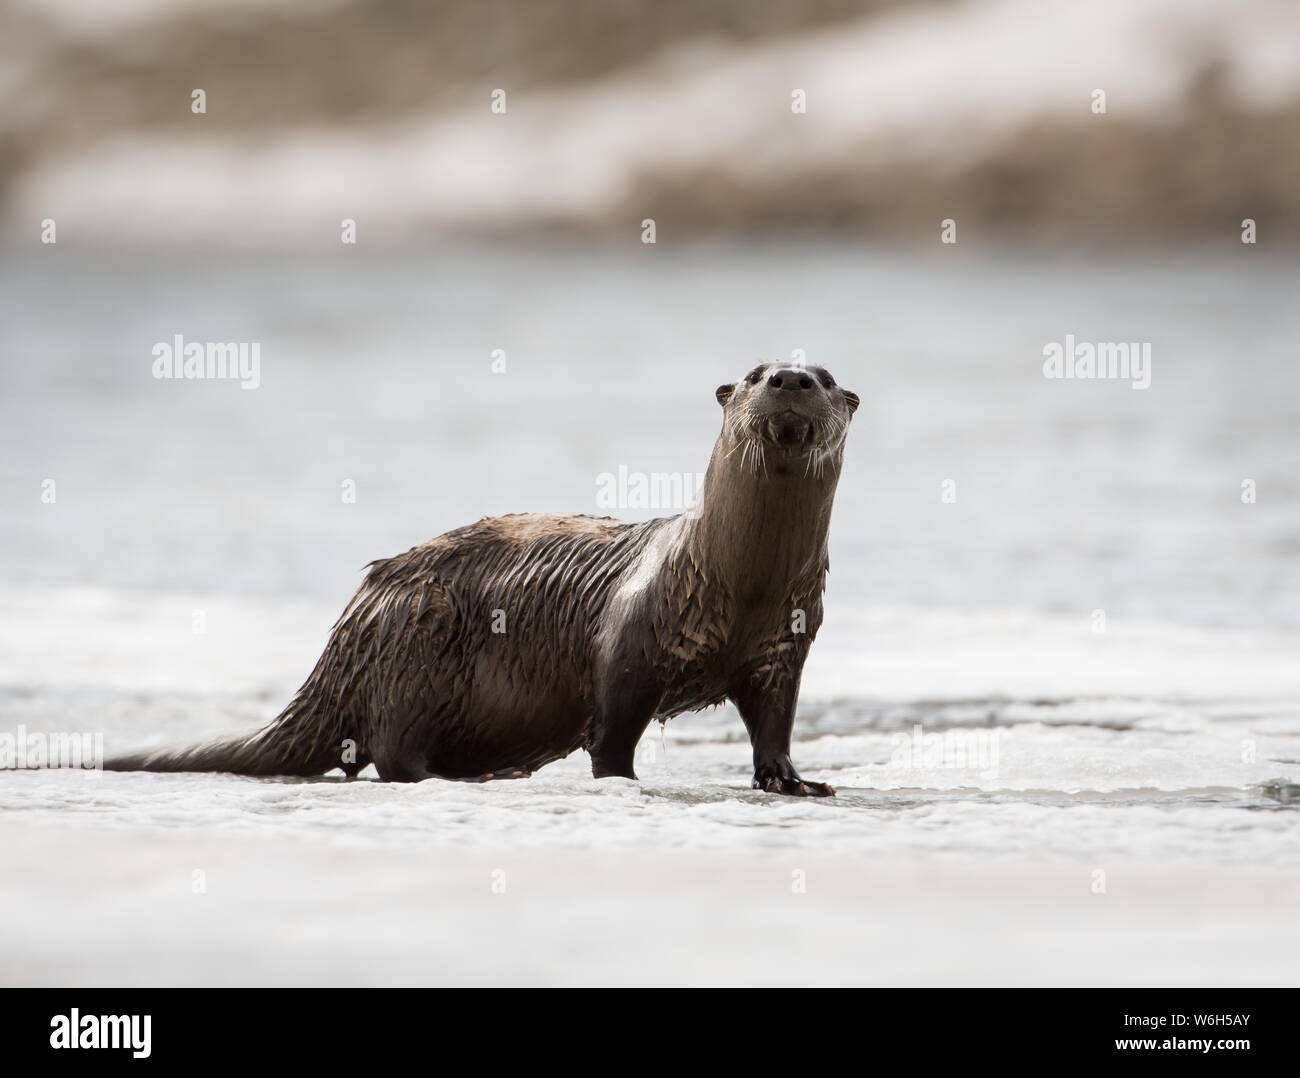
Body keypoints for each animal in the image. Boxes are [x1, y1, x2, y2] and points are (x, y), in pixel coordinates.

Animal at [102, 364, 858, 796]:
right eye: (756, 371)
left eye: (821, 375)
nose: (790, 379)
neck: (739, 587)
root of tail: (349, 629)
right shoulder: (633, 636)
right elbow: (613, 730)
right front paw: (620, 782)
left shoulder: (783, 647)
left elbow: (774, 722)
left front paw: (791, 780)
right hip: (412, 639)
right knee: (391, 751)